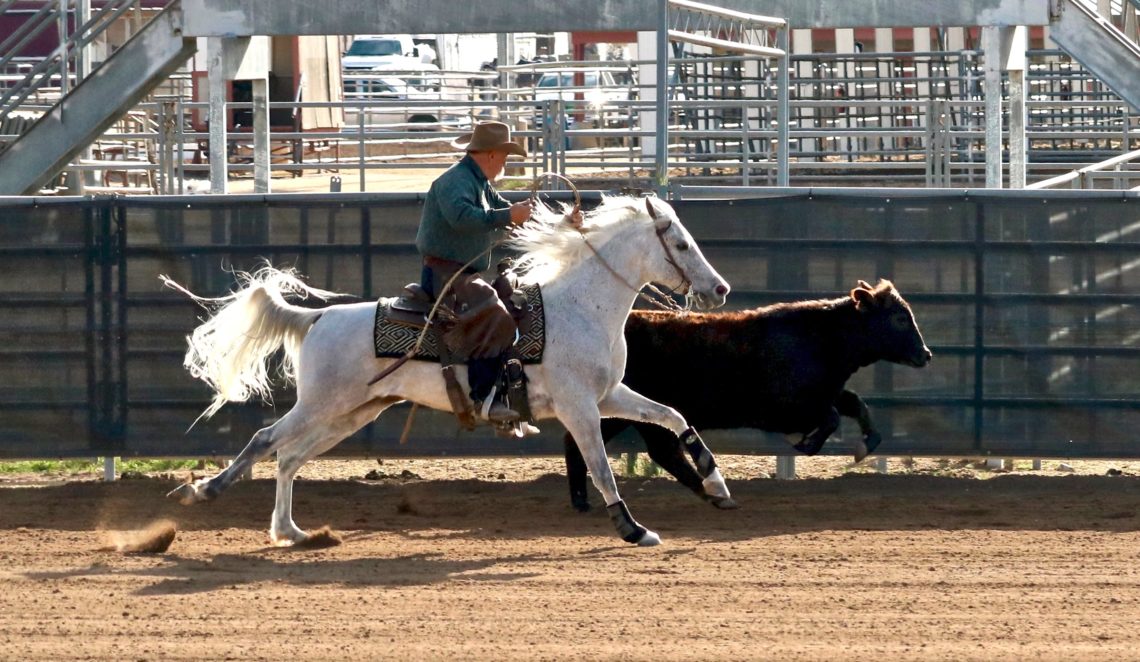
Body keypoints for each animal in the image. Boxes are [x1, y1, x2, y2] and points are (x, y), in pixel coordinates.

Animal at [164, 196, 730, 547]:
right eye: (681, 244)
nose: (720, 289)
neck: (580, 307)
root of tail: (319, 317)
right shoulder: (580, 409)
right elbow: (602, 468)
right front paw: (634, 530)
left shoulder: (610, 395)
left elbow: (673, 416)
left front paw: (716, 482)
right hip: (322, 405)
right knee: (266, 440)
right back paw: (205, 491)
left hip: (353, 412)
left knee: (289, 458)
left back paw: (291, 532)